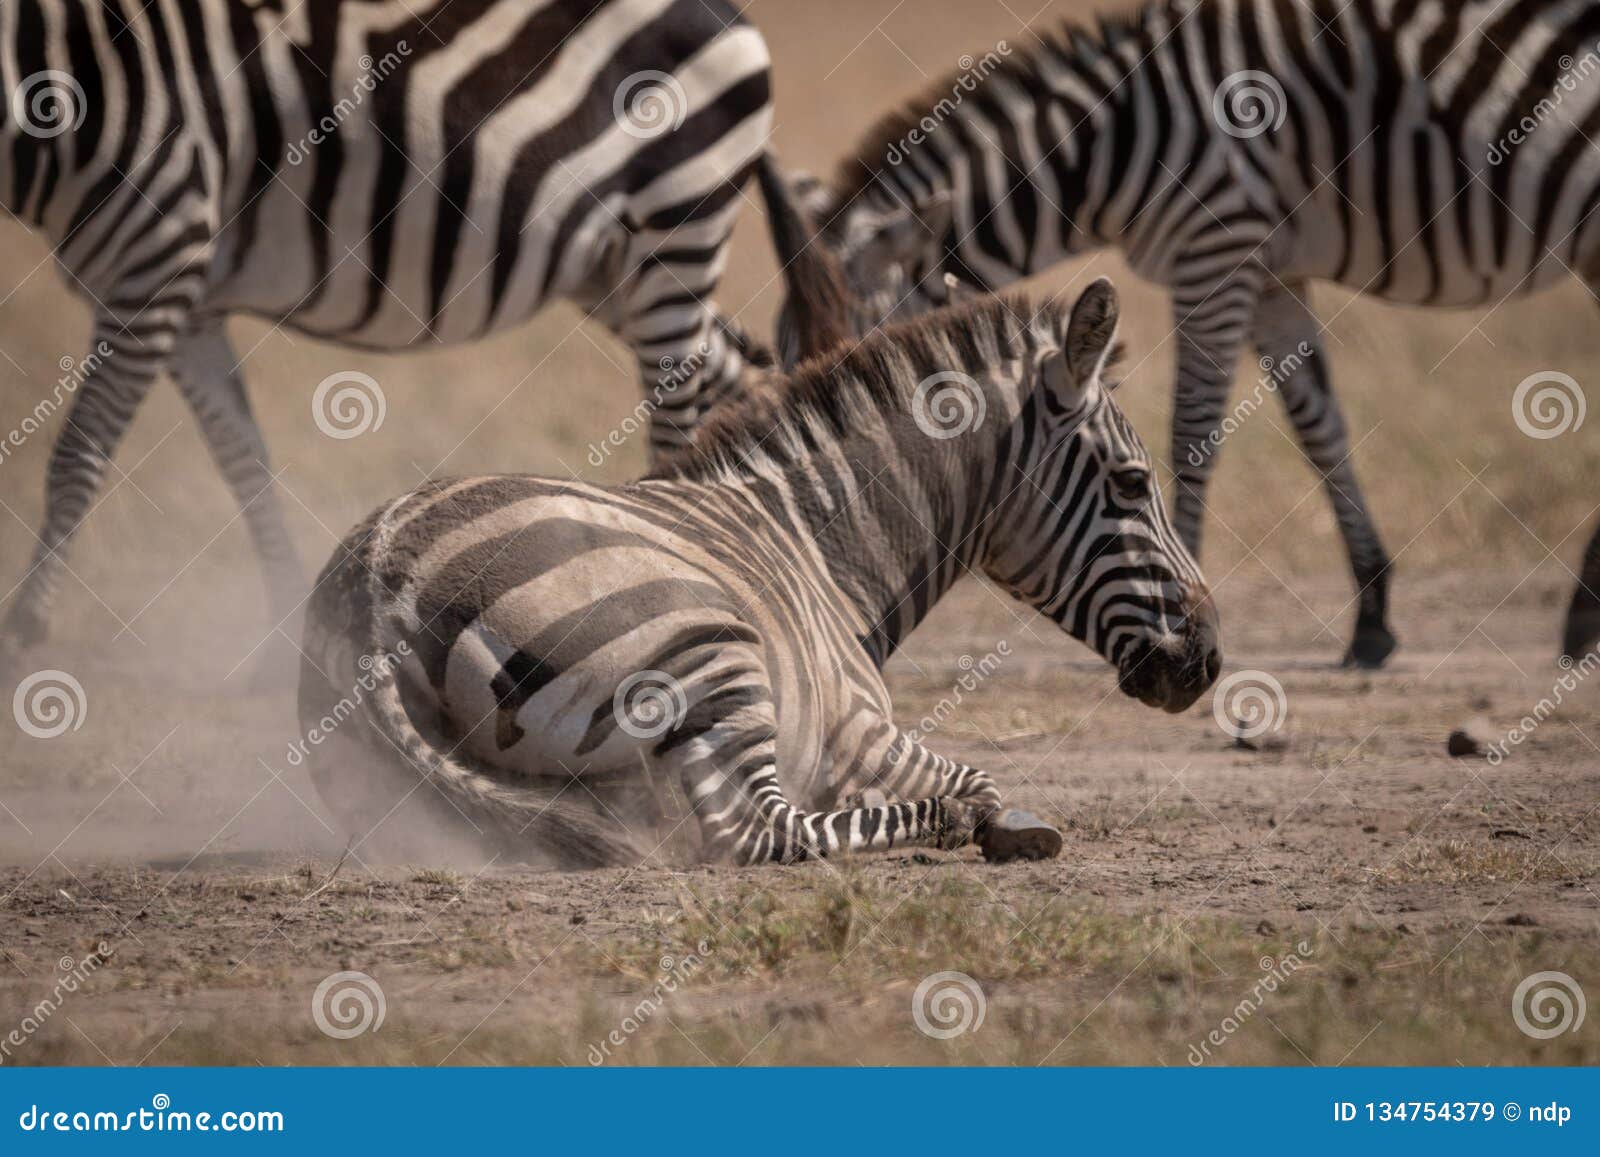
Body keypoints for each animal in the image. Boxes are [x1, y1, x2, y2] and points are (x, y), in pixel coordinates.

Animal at [0, 0, 773, 671]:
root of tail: (731, 16)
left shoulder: (155, 255)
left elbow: (77, 456)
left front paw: (24, 631)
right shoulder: (189, 303)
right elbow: (242, 457)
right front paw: (284, 631)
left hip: (676, 230)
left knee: (680, 427)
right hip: (610, 269)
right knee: (738, 378)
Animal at [295, 278, 1222, 867]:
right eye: (1132, 483)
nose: (1209, 659)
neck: (823, 549)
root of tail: (377, 573)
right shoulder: (857, 728)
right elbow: (979, 775)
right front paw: (1002, 820)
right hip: (711, 647)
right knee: (757, 831)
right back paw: (943, 820)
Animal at [774, 0, 1600, 668]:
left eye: (851, 360)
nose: (826, 556)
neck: (1113, 139)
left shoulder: (1216, 245)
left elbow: (1192, 428)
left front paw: (1183, 584)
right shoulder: (1269, 275)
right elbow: (1319, 426)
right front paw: (1371, 615)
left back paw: (1582, 614)